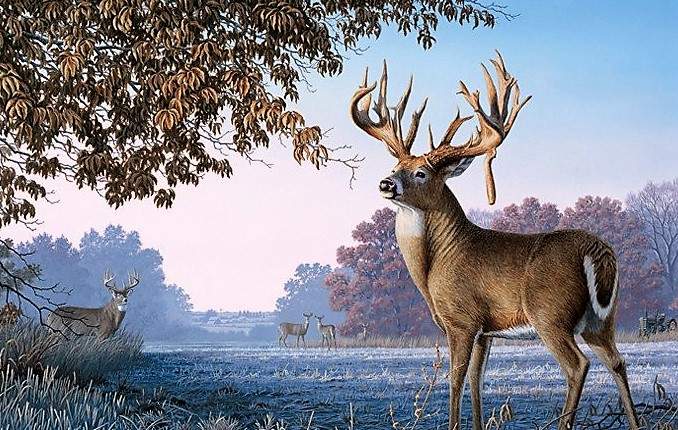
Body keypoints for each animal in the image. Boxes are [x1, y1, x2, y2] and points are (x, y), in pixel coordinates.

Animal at [349, 51, 639, 430]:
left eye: (421, 173)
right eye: (396, 165)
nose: (386, 183)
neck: (435, 265)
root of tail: (598, 250)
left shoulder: (461, 319)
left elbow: (456, 379)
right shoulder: (486, 331)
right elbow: (477, 379)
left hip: (550, 314)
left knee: (578, 365)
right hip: (602, 319)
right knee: (617, 361)